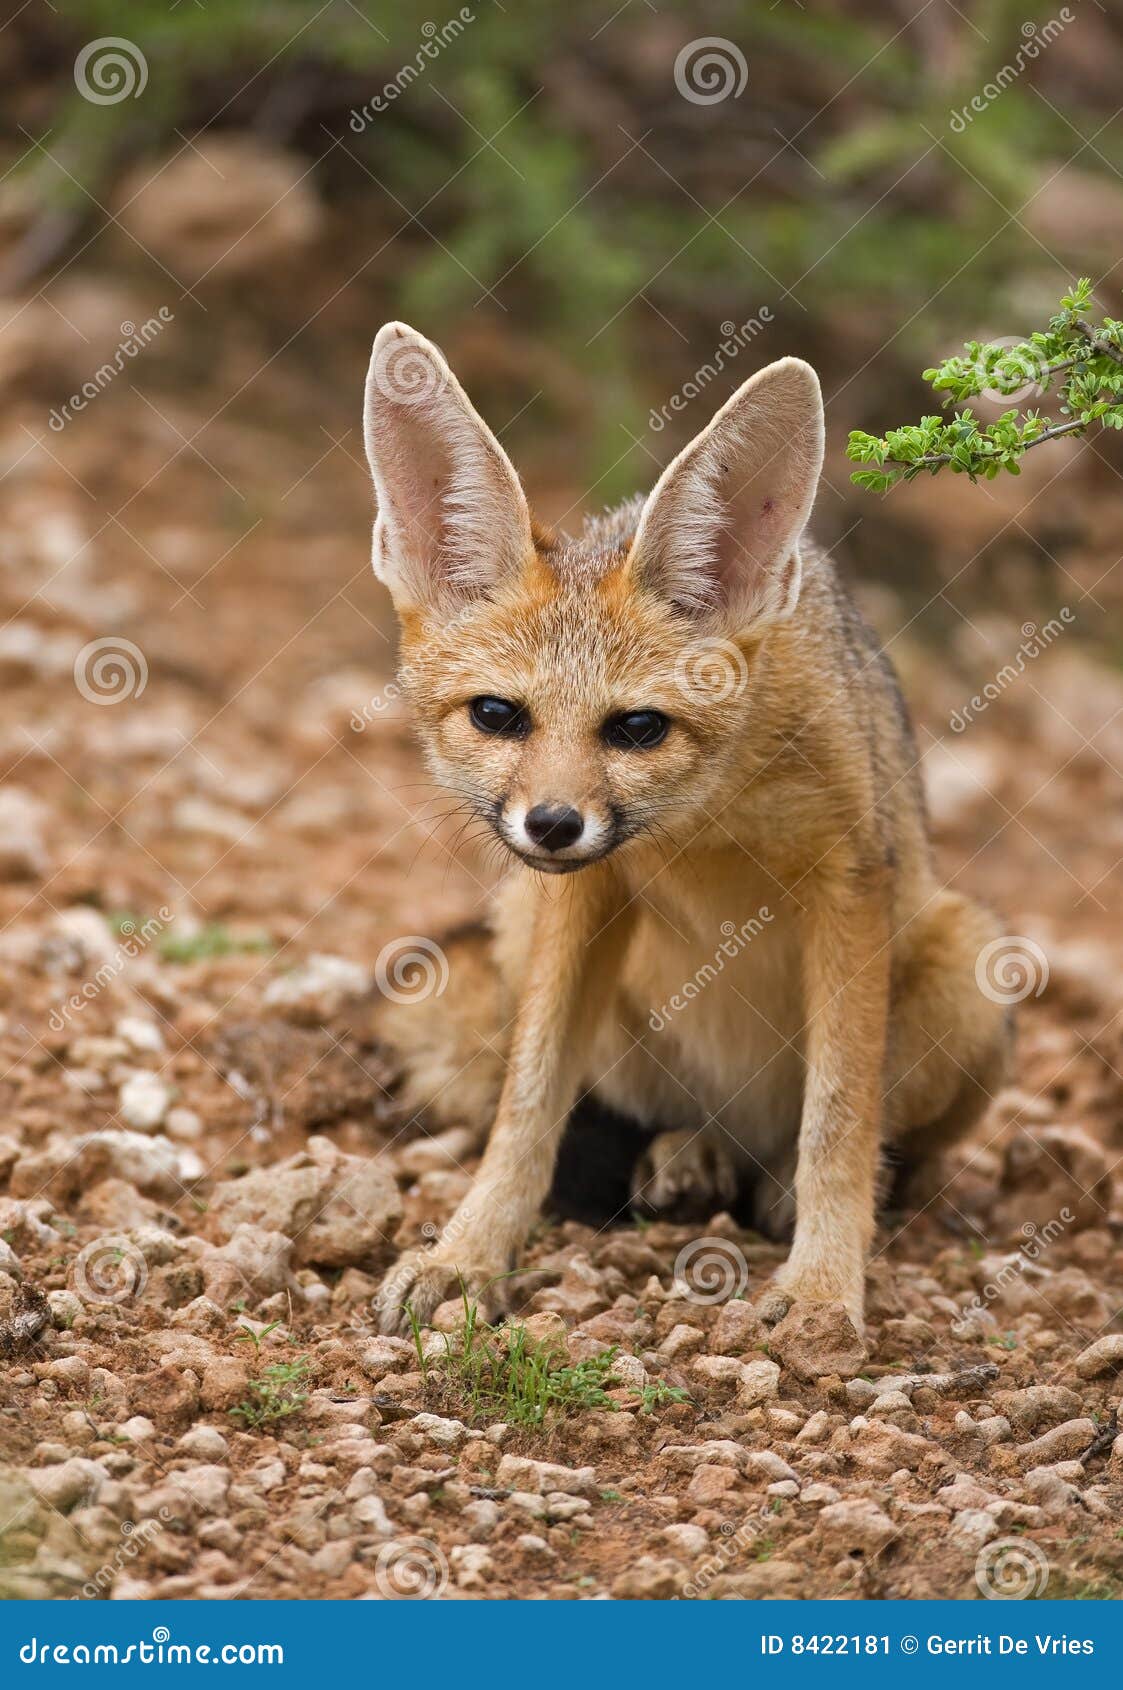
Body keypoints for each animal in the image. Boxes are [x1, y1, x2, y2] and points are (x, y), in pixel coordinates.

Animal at [362, 321, 1011, 1337]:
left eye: (637, 728)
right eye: (497, 716)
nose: (552, 824)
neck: (709, 818)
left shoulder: (847, 883)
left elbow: (838, 1118)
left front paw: (822, 1285)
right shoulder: (583, 895)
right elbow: (526, 1103)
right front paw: (466, 1254)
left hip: (967, 966)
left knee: (843, 1147)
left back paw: (776, 1184)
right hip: (524, 927)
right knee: (650, 1122)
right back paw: (684, 1156)